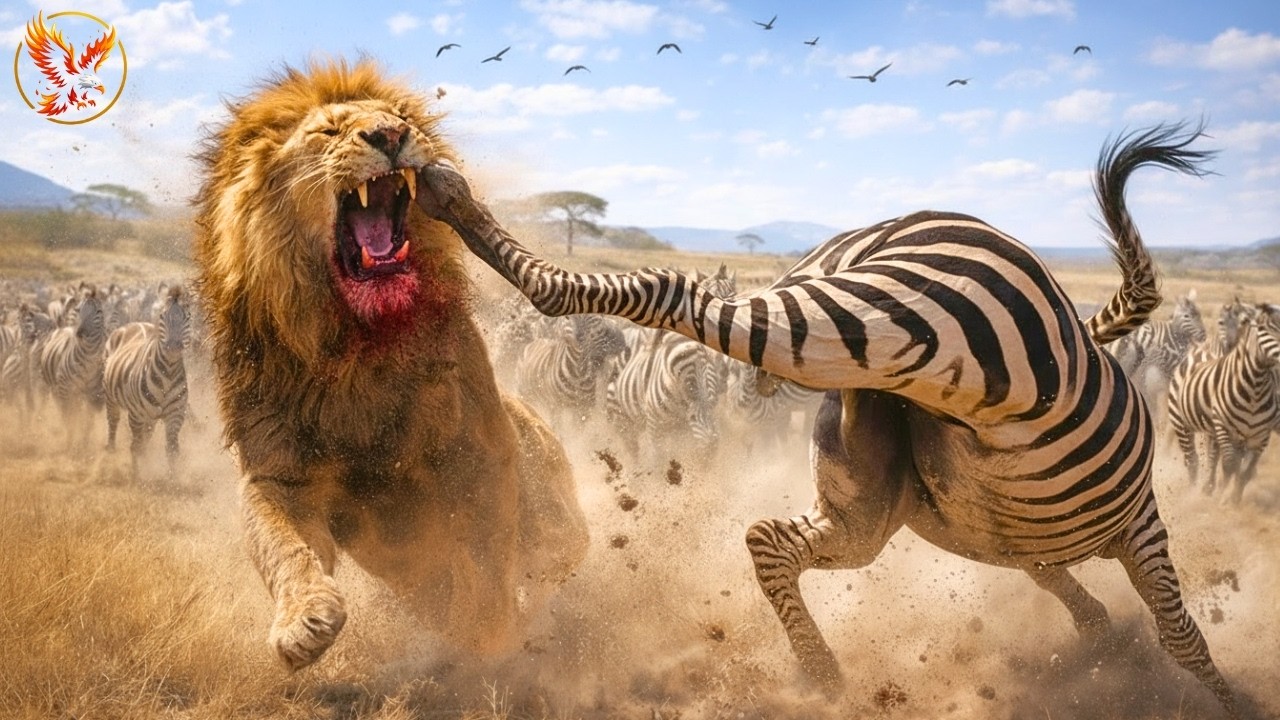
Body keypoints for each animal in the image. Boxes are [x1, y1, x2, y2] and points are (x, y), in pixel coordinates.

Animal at [39, 287, 108, 450]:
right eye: (79, 310)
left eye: (99, 311)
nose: (79, 333)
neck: (88, 359)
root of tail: (63, 328)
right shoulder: (65, 389)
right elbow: (69, 419)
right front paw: (70, 443)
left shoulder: (93, 394)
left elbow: (88, 422)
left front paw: (84, 444)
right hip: (53, 387)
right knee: (63, 410)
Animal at [103, 287, 191, 480]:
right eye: (162, 316)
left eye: (187, 317)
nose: (173, 347)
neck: (168, 375)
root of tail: (135, 323)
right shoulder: (136, 414)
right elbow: (136, 446)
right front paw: (137, 476)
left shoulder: (176, 414)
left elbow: (172, 449)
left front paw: (173, 479)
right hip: (110, 396)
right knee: (113, 421)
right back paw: (111, 451)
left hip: (150, 415)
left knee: (146, 435)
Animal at [416, 123, 1237, 715]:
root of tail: (885, 229)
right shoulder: (1140, 524)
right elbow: (1180, 633)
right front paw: (1228, 699)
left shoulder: (1035, 541)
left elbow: (1089, 600)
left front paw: (1105, 641)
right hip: (881, 327)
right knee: (665, 291)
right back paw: (446, 188)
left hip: (863, 449)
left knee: (768, 538)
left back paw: (824, 676)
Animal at [1166, 308, 1280, 504]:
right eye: (1266, 329)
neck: (1255, 389)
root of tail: (1200, 349)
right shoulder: (1224, 426)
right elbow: (1229, 464)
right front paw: (1221, 498)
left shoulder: (1261, 436)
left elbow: (1246, 471)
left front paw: (1234, 499)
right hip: (1181, 422)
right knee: (1192, 459)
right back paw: (1192, 492)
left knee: (1212, 456)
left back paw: (1207, 487)